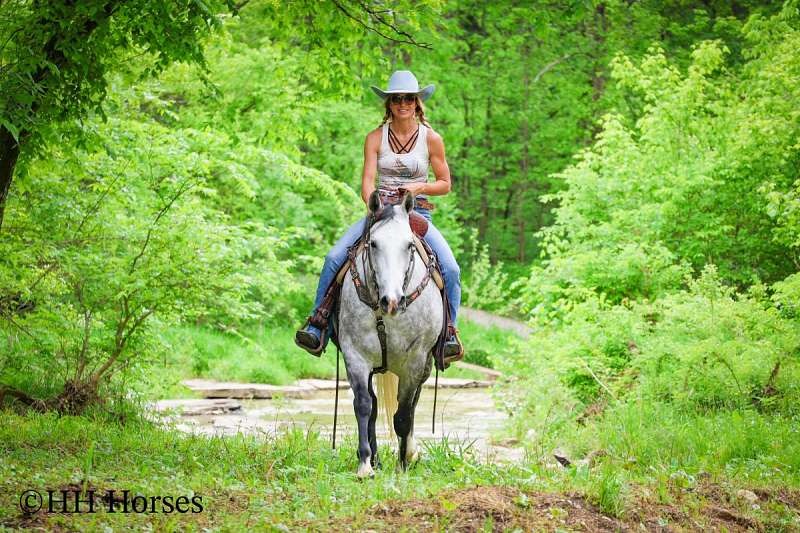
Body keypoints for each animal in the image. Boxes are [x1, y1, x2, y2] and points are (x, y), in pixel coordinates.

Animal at [336, 190, 444, 478]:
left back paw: (410, 452)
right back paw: (375, 460)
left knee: (413, 404)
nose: (392, 301)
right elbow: (363, 405)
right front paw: (365, 464)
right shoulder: (355, 356)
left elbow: (404, 414)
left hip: (423, 366)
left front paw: (403, 463)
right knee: (373, 406)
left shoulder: (414, 361)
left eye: (409, 245)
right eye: (373, 244)